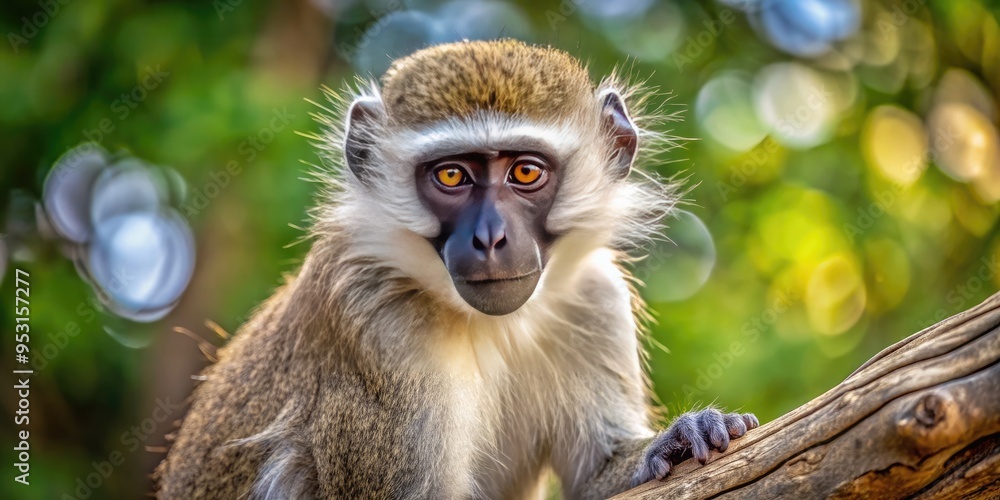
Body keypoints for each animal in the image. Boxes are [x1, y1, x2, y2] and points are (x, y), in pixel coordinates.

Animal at [155, 39, 758, 499]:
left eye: (525, 172)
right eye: (451, 176)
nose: (489, 238)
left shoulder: (594, 295)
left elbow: (597, 472)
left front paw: (679, 438)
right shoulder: (372, 320)